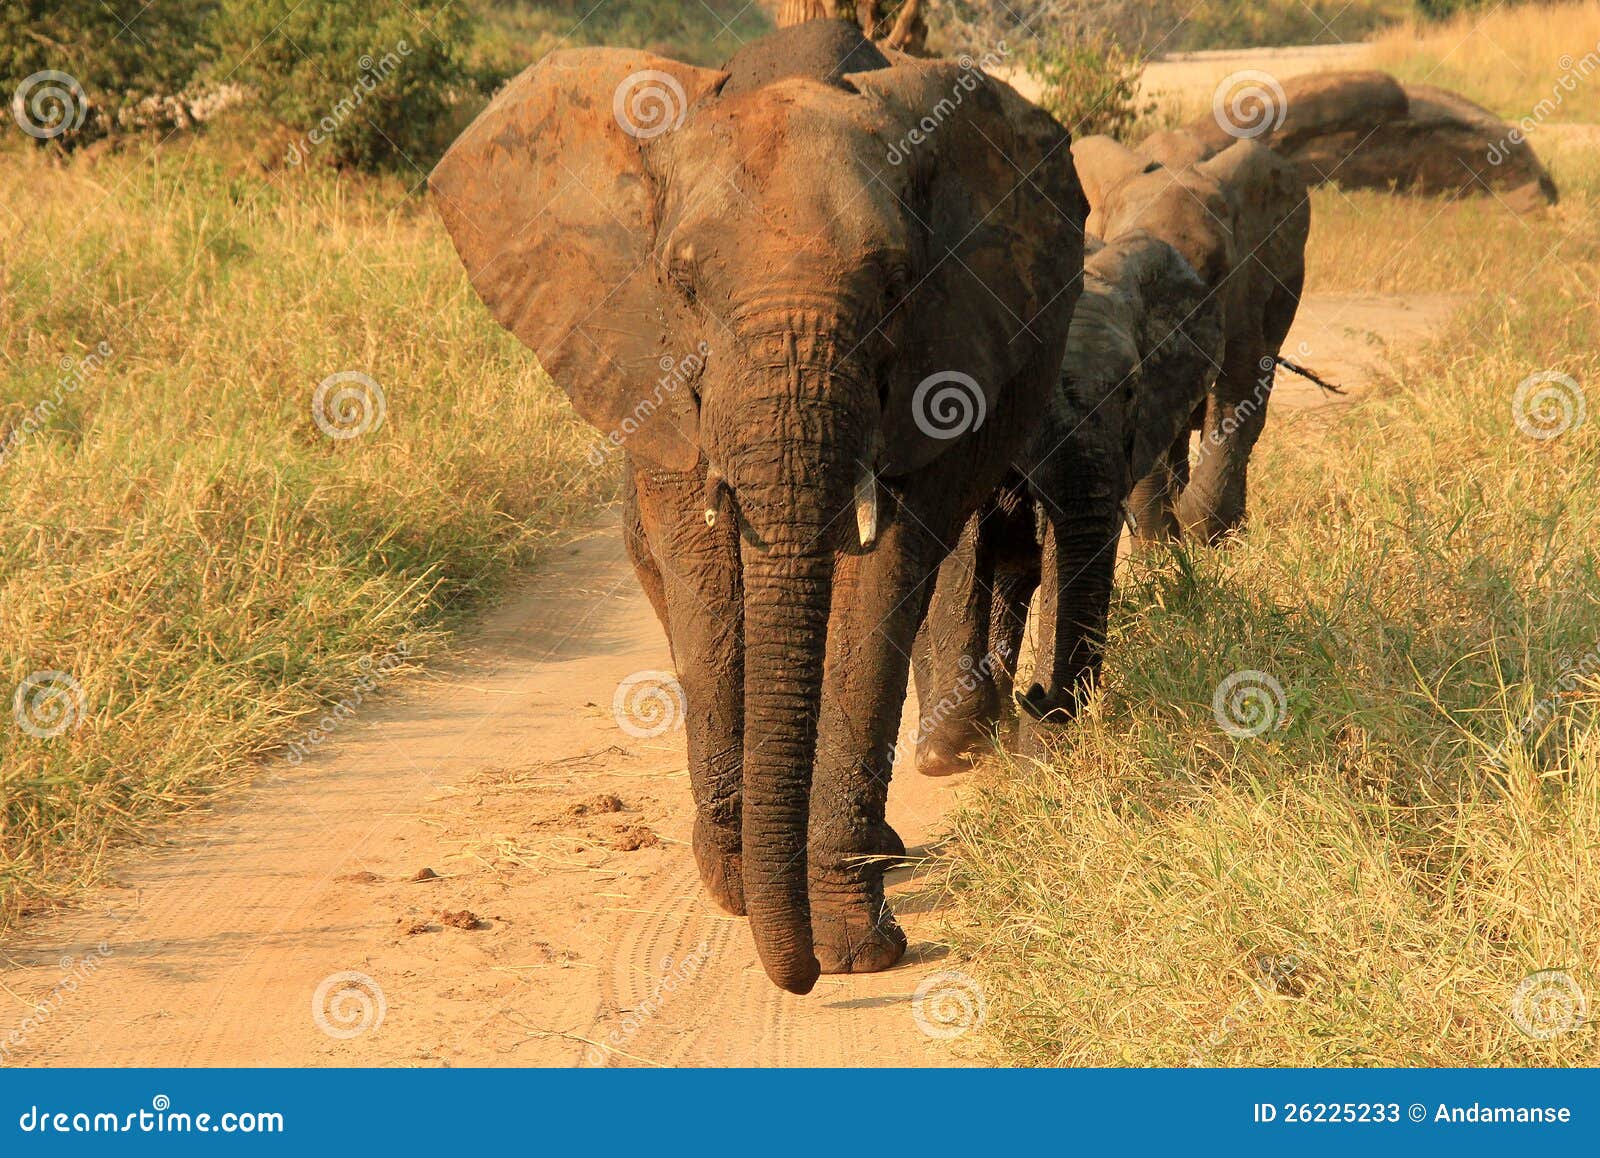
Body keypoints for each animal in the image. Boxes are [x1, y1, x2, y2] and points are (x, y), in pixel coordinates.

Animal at [430, 19, 1086, 992]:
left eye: (894, 283)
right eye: (684, 285)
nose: (801, 974)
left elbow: (880, 582)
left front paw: (855, 945)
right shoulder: (653, 370)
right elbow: (706, 579)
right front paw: (742, 896)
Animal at [911, 230, 1224, 776]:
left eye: (1131, 392)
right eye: (1031, 402)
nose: (1036, 693)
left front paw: (1038, 764)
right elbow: (961, 554)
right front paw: (948, 751)